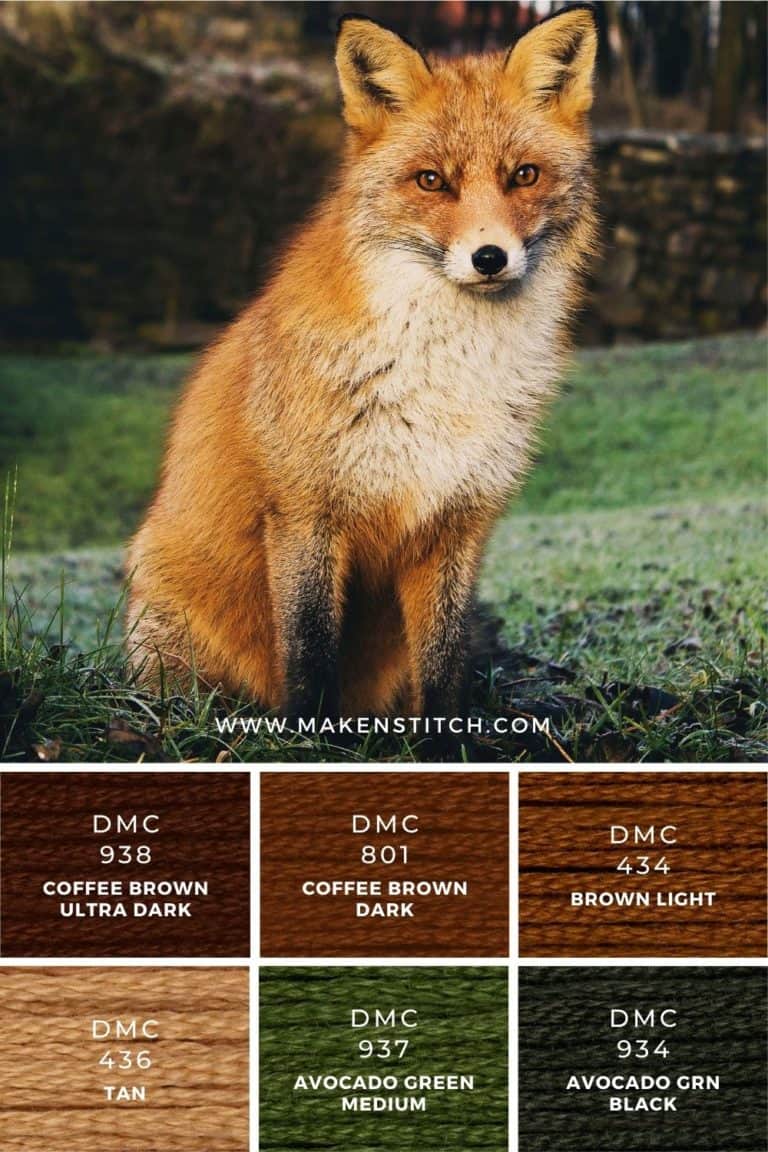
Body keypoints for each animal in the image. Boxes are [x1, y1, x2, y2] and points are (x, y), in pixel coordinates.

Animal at [126, 6, 599, 741]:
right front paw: (311, 746)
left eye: (524, 175)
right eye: (431, 180)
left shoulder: (457, 523)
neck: (444, 375)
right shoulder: (304, 513)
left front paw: (444, 752)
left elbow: (443, 668)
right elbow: (310, 653)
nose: (490, 257)